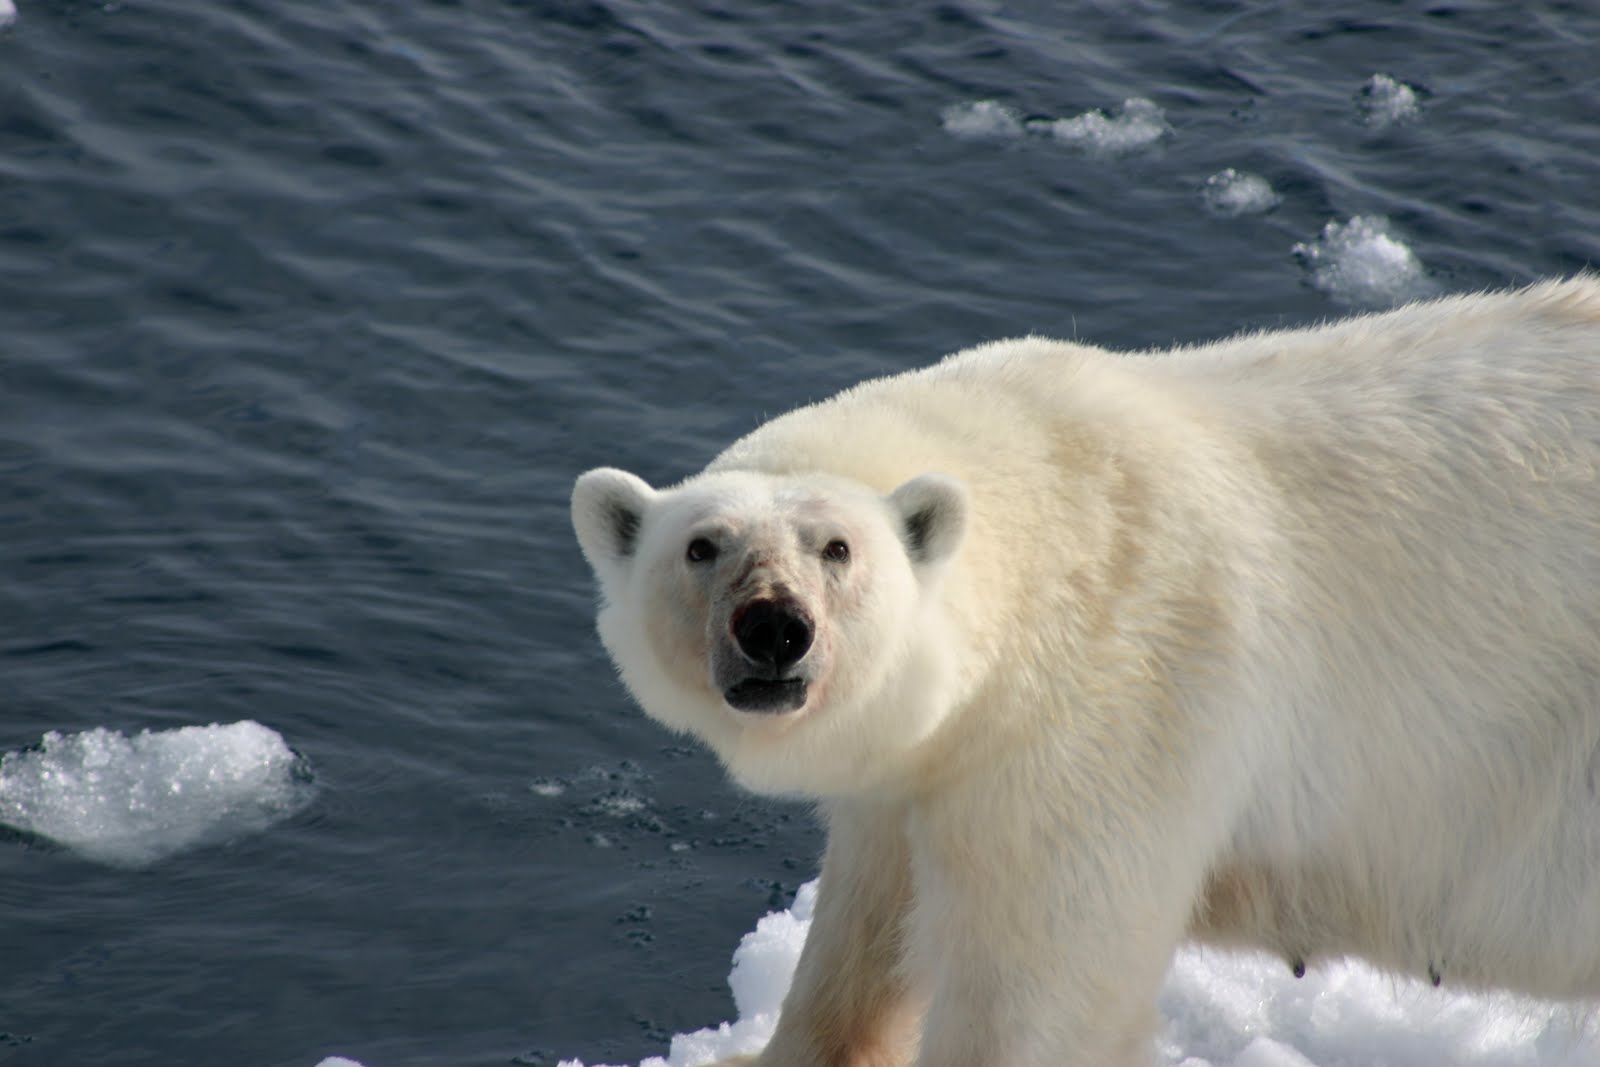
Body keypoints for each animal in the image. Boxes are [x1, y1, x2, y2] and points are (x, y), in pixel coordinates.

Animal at [570, 276, 1600, 1067]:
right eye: (702, 545)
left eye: (837, 547)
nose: (775, 629)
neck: (1059, 504)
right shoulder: (927, 771)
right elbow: (869, 920)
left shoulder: (1109, 711)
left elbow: (1037, 986)